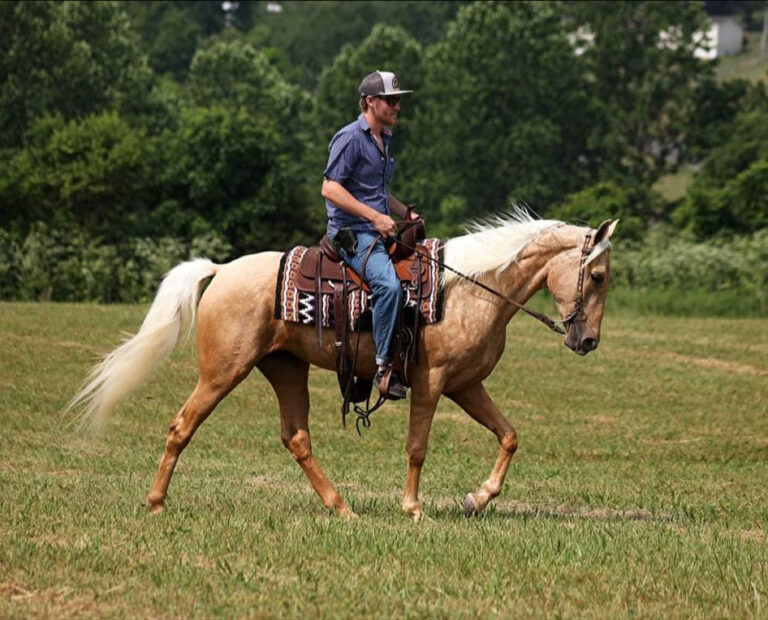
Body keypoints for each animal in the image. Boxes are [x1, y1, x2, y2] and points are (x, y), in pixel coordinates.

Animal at [67, 210, 618, 521]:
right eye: (597, 275)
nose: (588, 340)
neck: (470, 289)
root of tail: (221, 271)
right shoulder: (431, 383)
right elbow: (417, 447)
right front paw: (414, 508)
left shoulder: (465, 385)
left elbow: (509, 436)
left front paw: (476, 500)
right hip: (222, 371)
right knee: (182, 425)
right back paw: (157, 503)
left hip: (285, 369)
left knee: (296, 438)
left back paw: (342, 508)